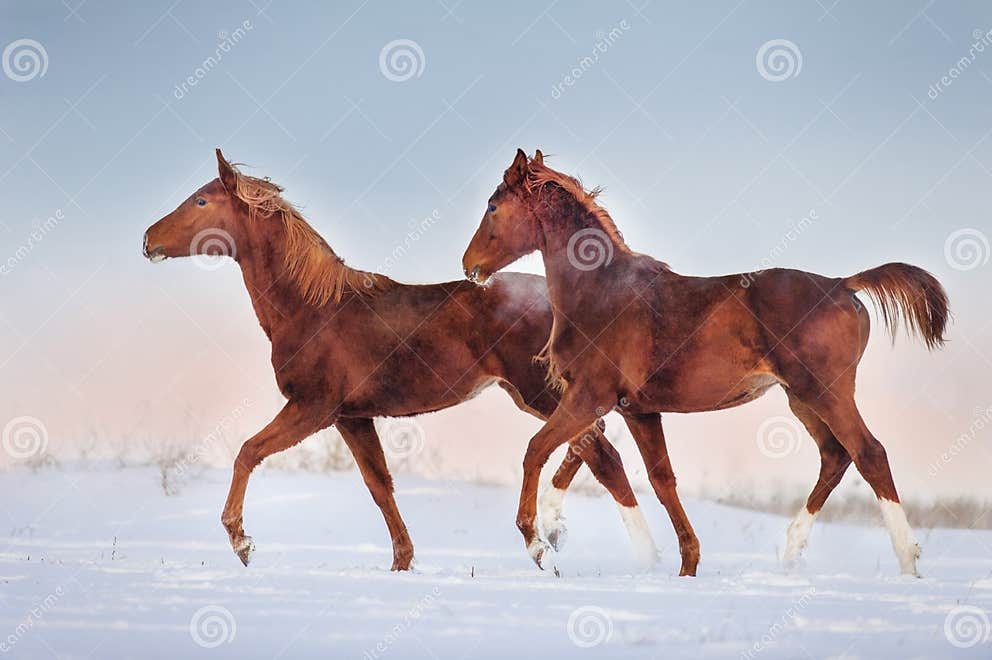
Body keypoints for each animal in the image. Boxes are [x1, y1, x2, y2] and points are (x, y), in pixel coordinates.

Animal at [142, 149, 660, 571]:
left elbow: (248, 452)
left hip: (543, 394)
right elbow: (379, 487)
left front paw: (242, 543)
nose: (148, 239)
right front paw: (402, 562)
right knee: (594, 448)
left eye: (201, 202)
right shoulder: (351, 418)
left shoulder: (312, 408)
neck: (311, 308)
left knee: (600, 453)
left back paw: (568, 543)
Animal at [462, 149, 949, 576]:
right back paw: (792, 550)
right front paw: (685, 562)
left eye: (492, 206)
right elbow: (654, 476)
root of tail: (842, 284)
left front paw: (536, 540)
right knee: (835, 456)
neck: (600, 291)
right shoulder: (635, 409)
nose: (469, 265)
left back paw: (908, 561)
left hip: (825, 391)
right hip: (801, 399)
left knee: (869, 453)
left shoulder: (591, 396)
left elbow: (539, 449)